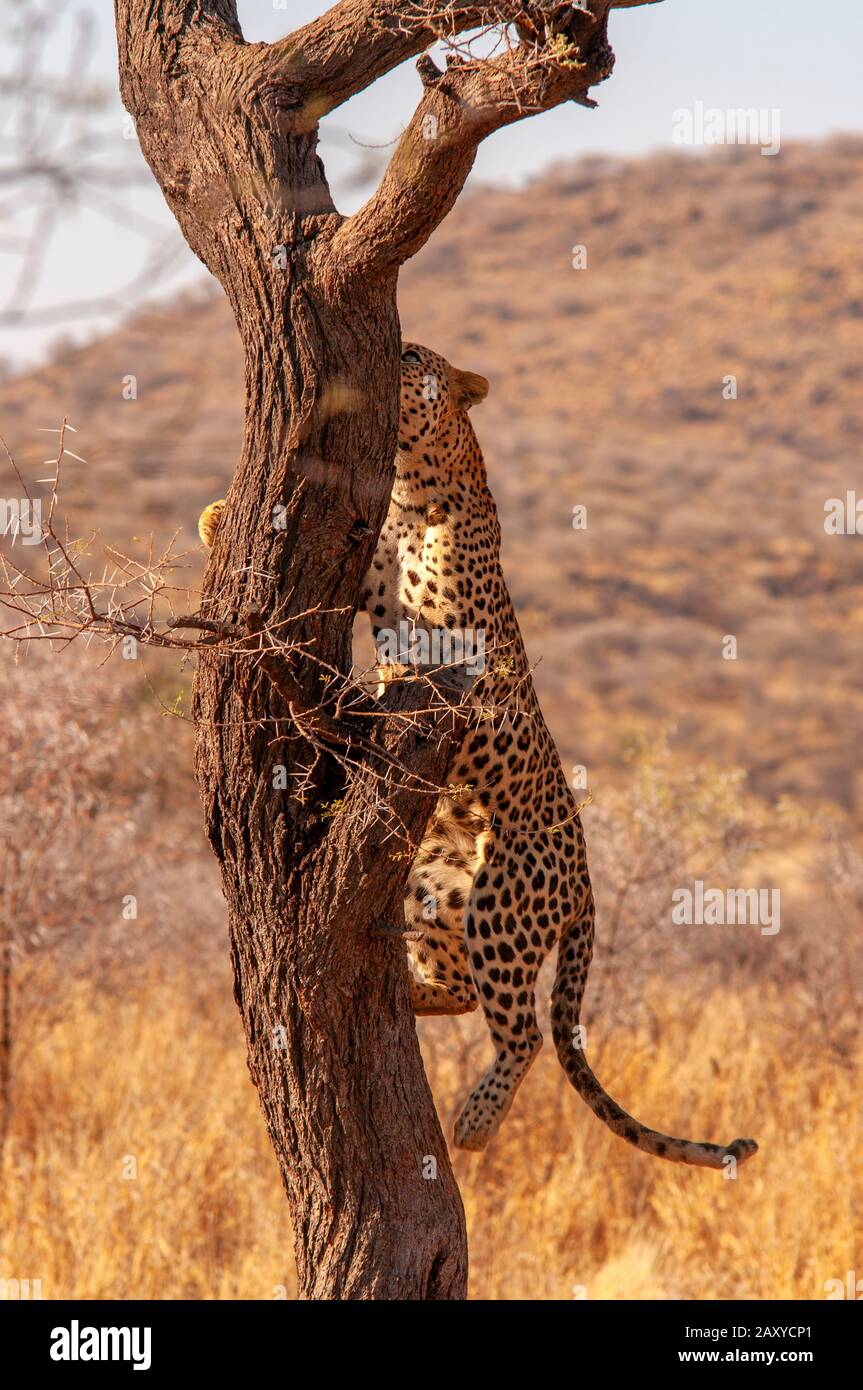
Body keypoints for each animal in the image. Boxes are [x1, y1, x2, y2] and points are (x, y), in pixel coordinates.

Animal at [198, 343, 758, 1170]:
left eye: (410, 354)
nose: (392, 351)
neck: (415, 486)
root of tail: (586, 879)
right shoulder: (378, 583)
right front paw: (213, 517)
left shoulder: (455, 643)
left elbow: (419, 643)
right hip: (435, 886)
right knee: (459, 988)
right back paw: (403, 991)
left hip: (504, 904)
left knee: (521, 1030)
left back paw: (474, 1122)